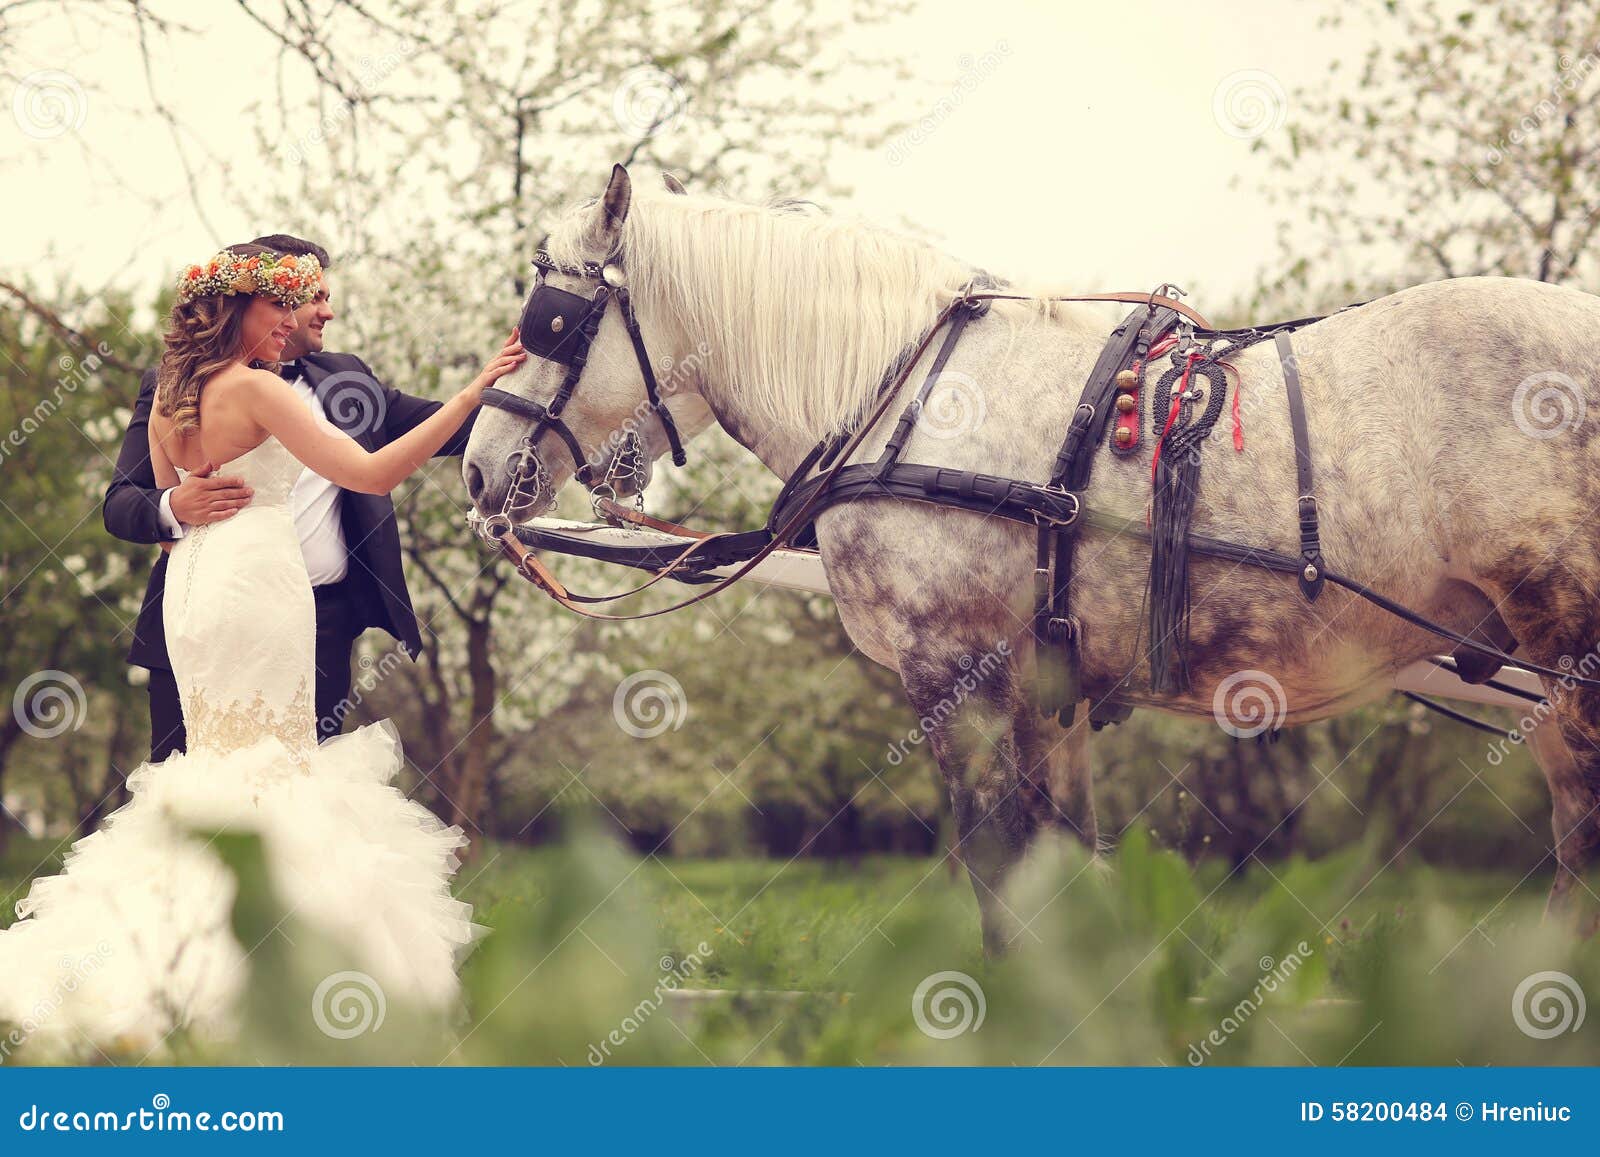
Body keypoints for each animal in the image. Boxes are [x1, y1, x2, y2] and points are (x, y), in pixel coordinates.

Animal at [465, 164, 1600, 951]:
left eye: (550, 318)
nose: (477, 469)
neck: (903, 393)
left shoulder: (953, 670)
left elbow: (996, 870)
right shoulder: (1049, 688)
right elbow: (1059, 871)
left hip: (1565, 651)